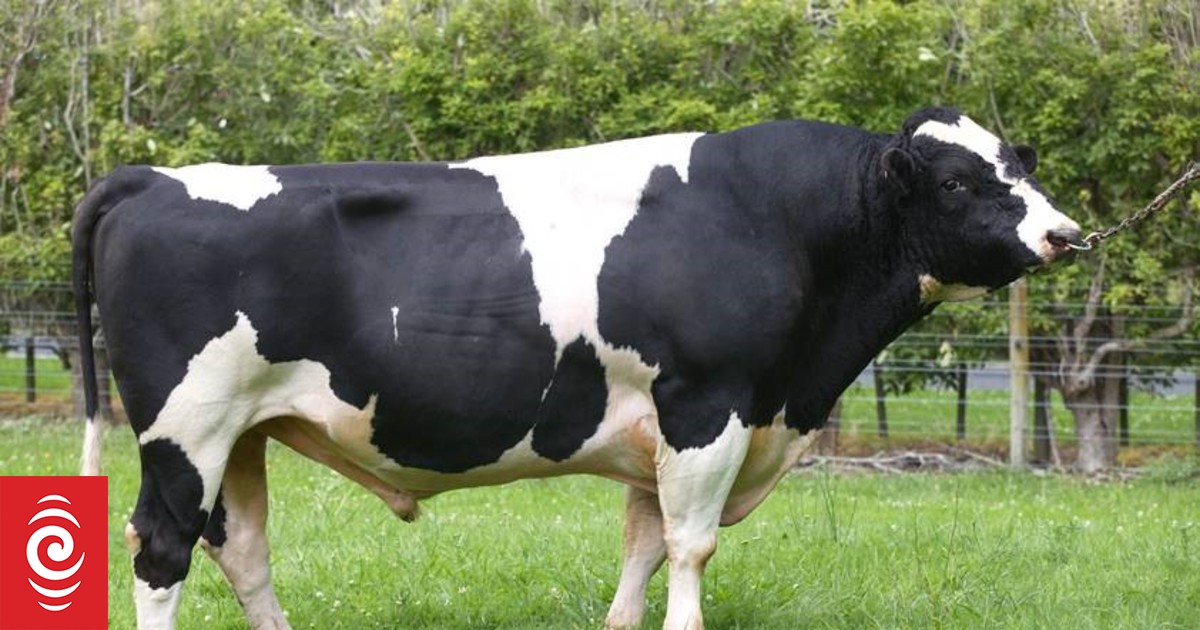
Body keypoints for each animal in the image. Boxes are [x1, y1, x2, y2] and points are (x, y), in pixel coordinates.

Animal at [72, 107, 1082, 630]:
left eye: (1019, 165)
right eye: (956, 181)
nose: (1065, 233)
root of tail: (152, 177)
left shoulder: (659, 425)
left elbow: (642, 545)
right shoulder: (707, 405)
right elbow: (690, 545)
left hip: (243, 431)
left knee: (240, 547)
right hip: (186, 428)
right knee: (162, 550)